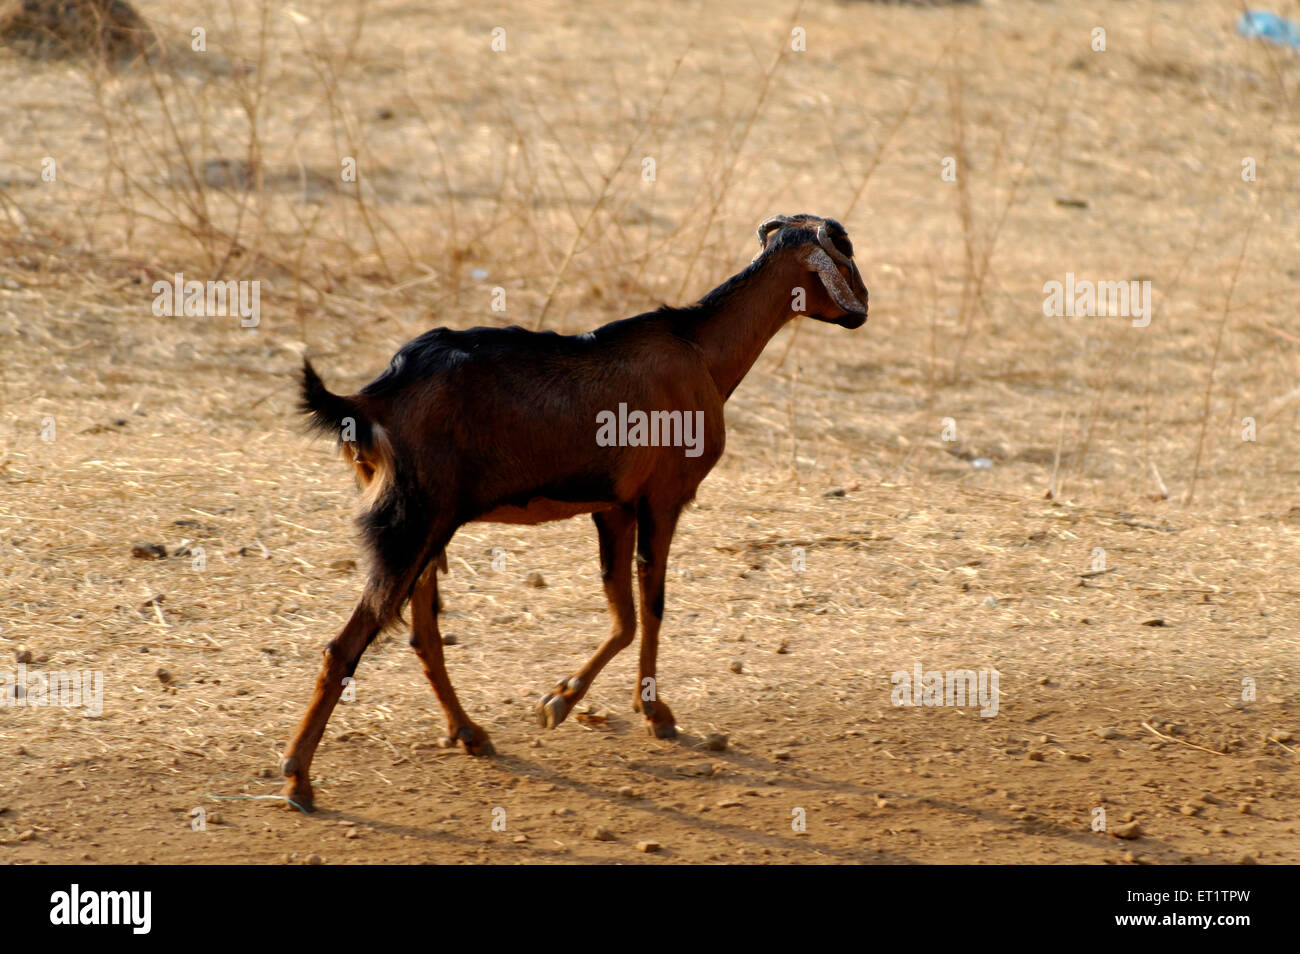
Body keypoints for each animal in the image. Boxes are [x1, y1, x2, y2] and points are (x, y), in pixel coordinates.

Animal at [279, 213, 868, 810]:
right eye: (845, 255)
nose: (862, 308)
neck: (698, 349)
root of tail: (371, 400)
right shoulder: (662, 500)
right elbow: (652, 607)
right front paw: (645, 713)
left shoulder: (615, 509)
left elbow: (624, 615)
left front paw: (564, 700)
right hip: (409, 528)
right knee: (343, 647)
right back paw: (298, 778)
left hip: (429, 531)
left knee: (422, 635)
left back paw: (469, 734)